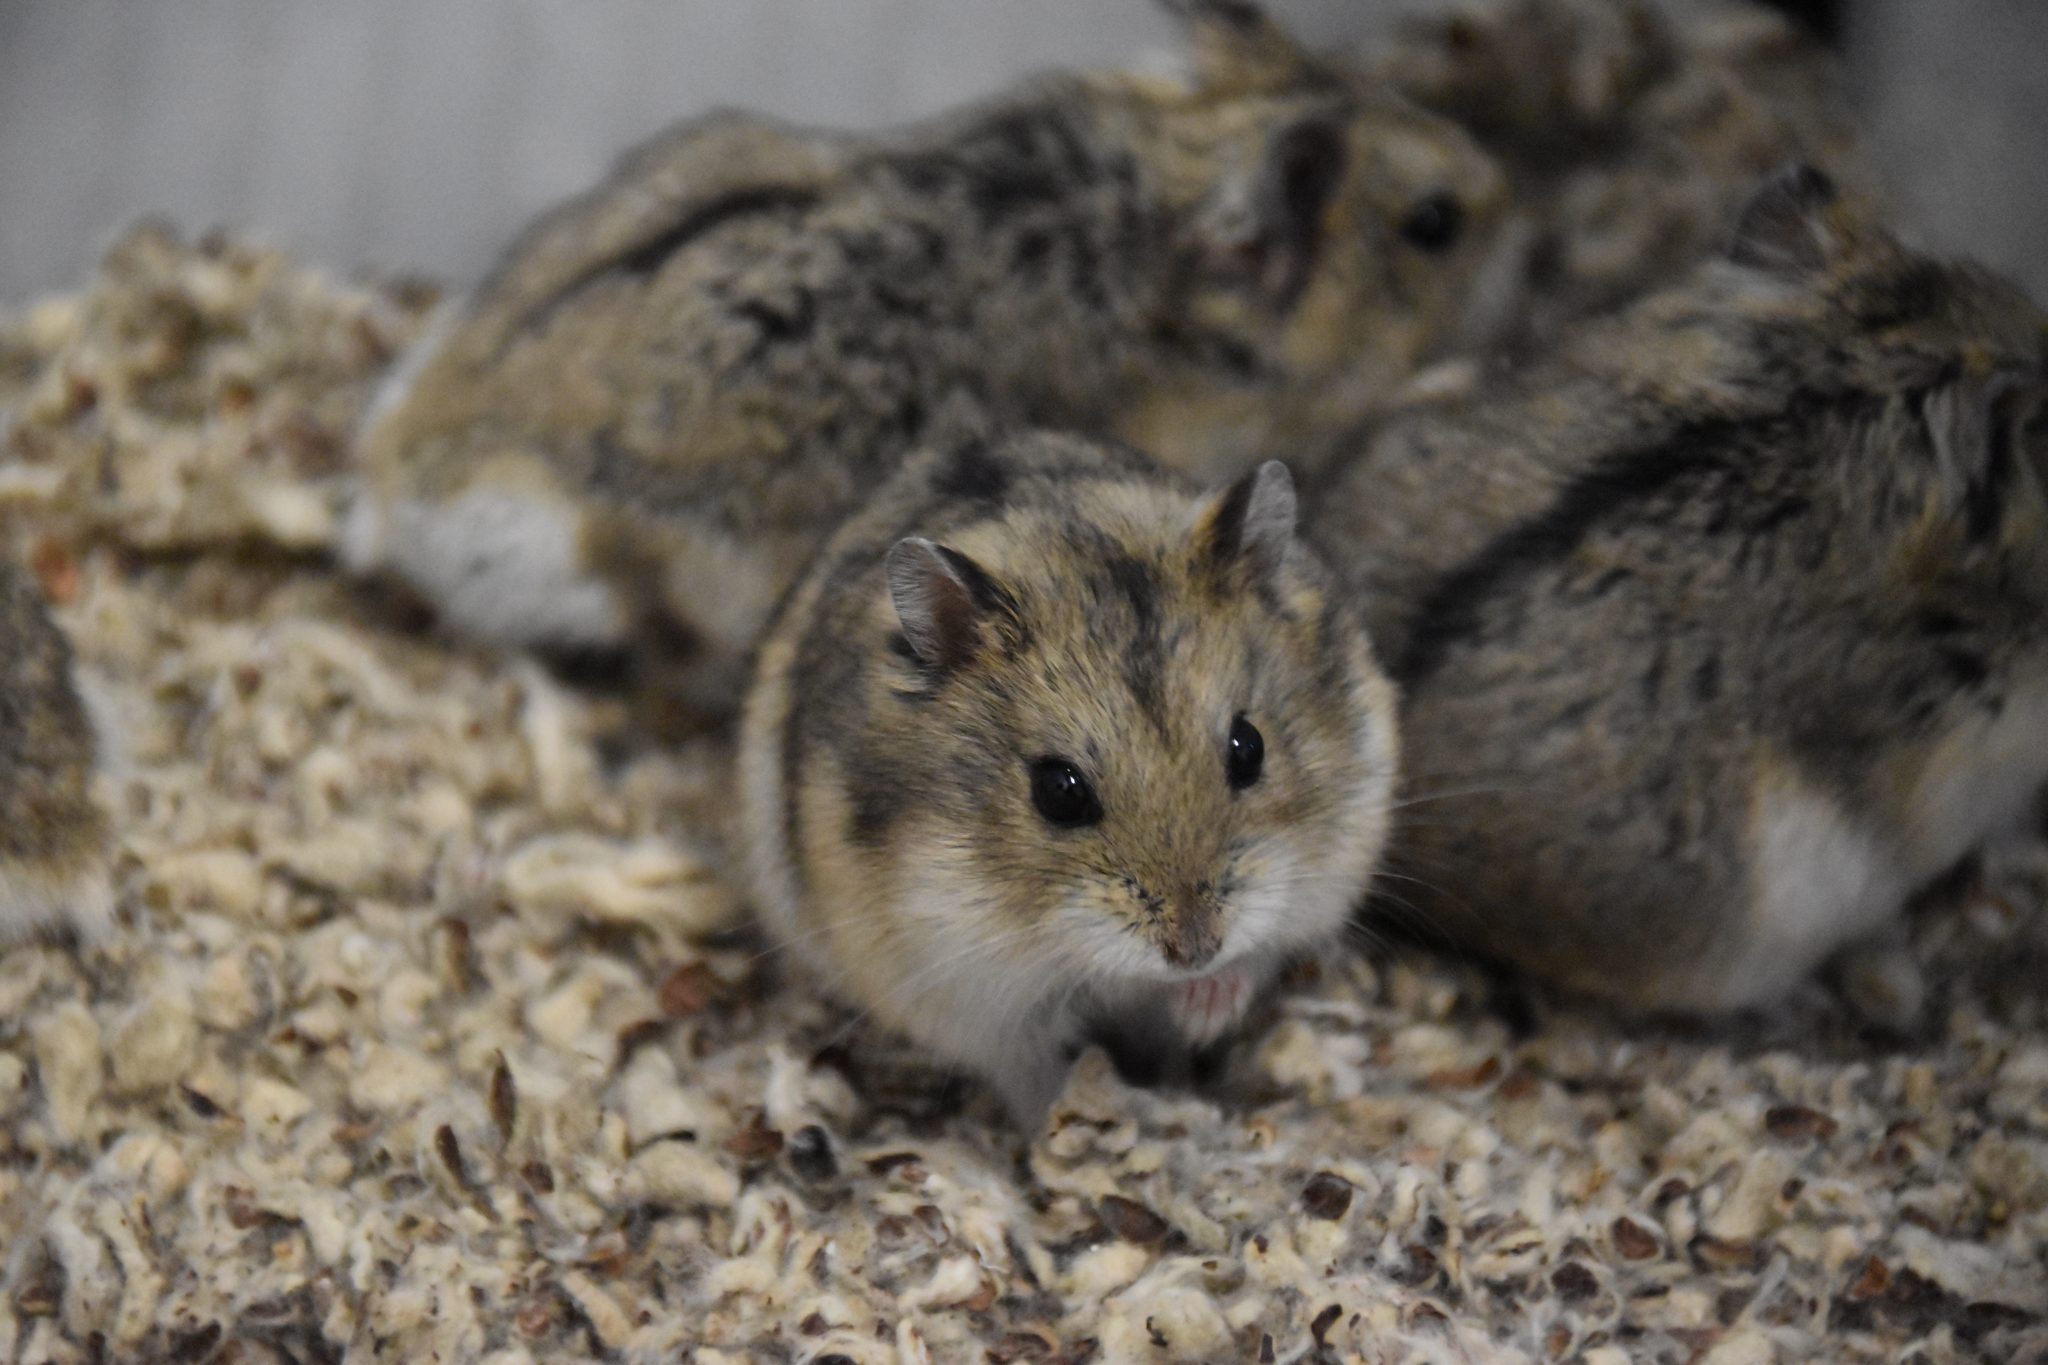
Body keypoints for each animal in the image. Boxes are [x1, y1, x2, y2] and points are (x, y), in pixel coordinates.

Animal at [740, 430, 1398, 1124]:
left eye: (1251, 749)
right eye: (1058, 792)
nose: (1194, 952)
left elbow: (1254, 957)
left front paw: (1203, 1011)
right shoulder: (963, 989)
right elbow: (1032, 1065)